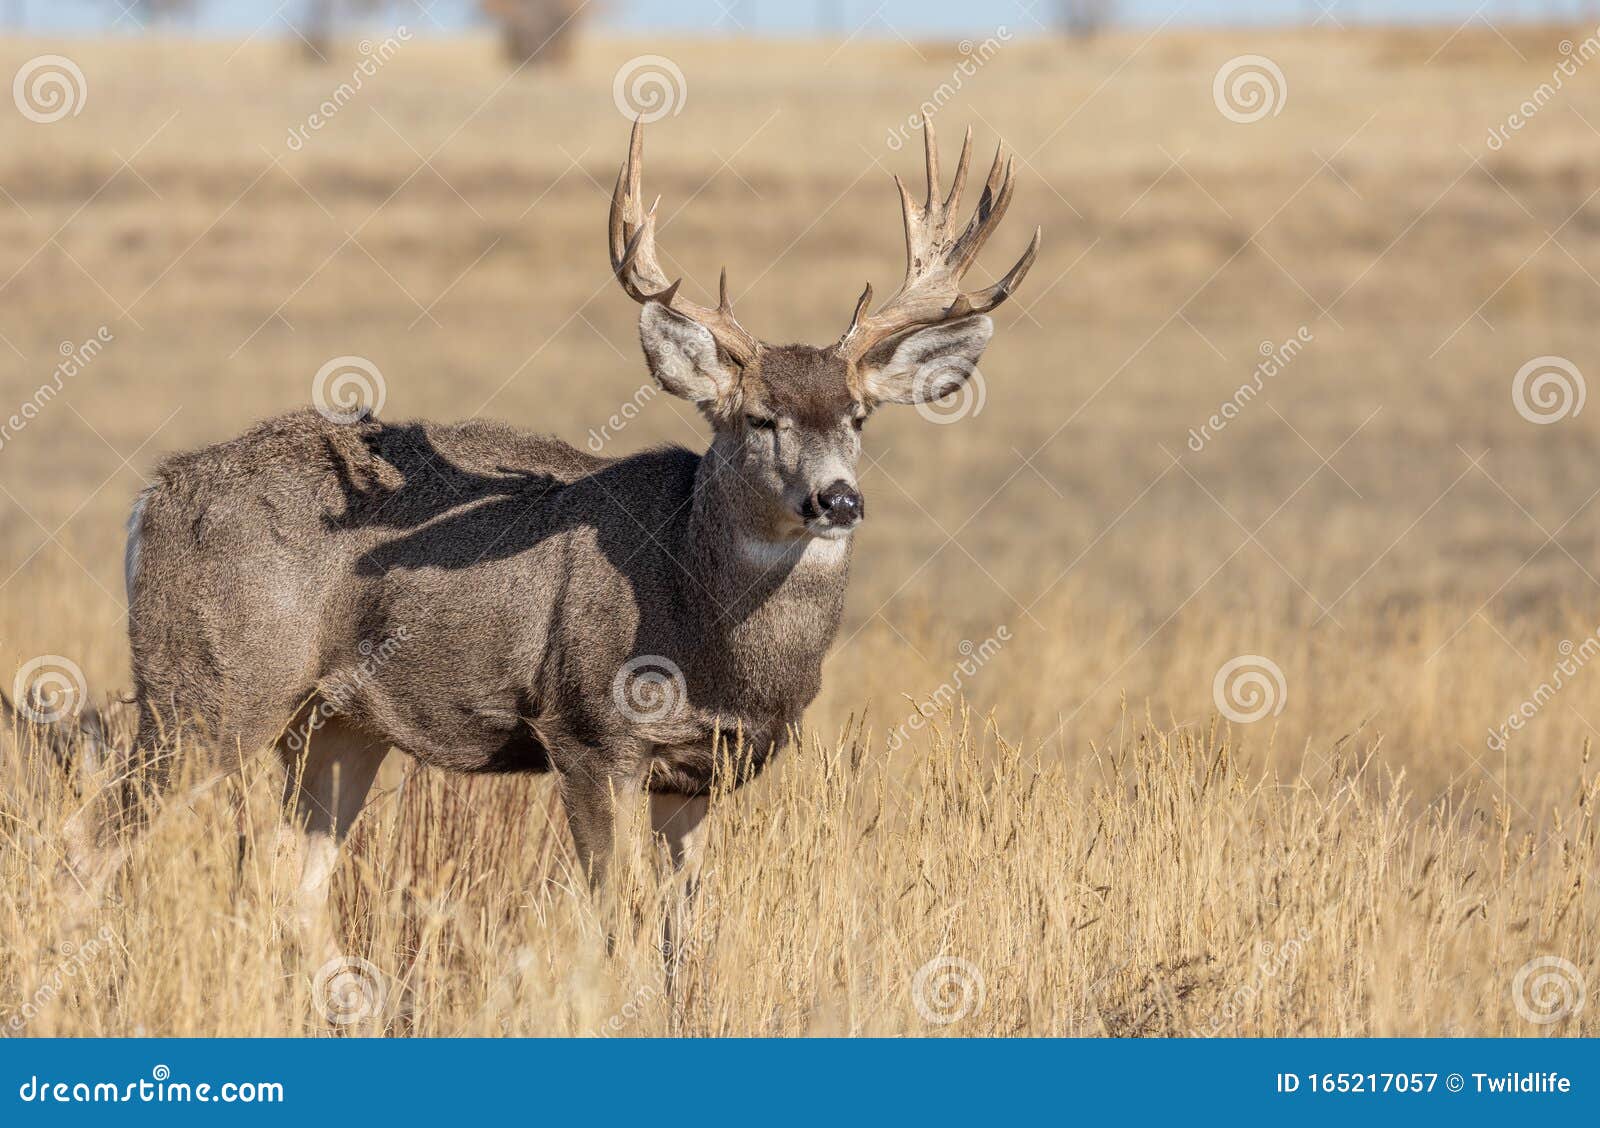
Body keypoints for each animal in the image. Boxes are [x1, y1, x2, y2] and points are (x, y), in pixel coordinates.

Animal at [99, 115, 1039, 962]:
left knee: (290, 889)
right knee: (104, 835)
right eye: (759, 417)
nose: (837, 498)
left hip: (333, 726)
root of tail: (151, 498)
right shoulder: (587, 732)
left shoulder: (696, 771)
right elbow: (614, 918)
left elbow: (683, 934)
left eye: (858, 416)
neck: (700, 624)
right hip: (206, 690)